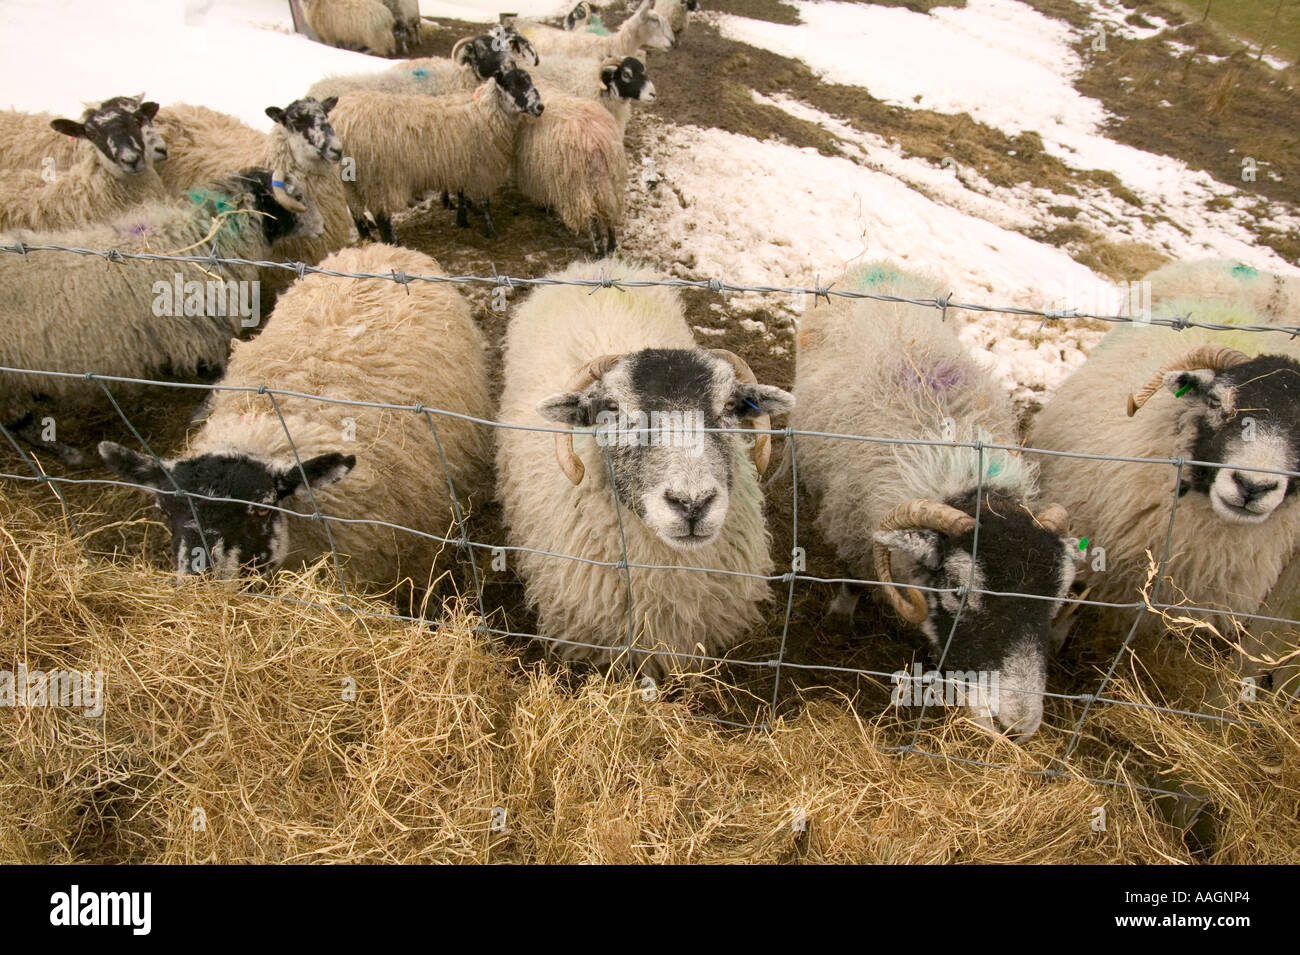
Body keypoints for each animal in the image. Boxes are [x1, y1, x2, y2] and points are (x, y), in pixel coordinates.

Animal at [0, 168, 323, 456]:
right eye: (297, 195)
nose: (320, 229)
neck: (200, 239)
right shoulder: (200, 331)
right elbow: (220, 370)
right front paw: (202, 410)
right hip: (11, 381)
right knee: (21, 424)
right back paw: (70, 454)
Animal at [329, 70, 544, 242]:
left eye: (529, 81)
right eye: (513, 85)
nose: (540, 107)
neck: (484, 113)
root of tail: (340, 120)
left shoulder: (461, 163)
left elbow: (461, 192)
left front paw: (462, 219)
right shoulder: (482, 166)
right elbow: (485, 202)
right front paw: (491, 231)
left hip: (348, 182)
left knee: (356, 214)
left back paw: (367, 240)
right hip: (376, 179)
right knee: (381, 217)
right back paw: (392, 243)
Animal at [516, 59, 654, 253]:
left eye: (643, 70)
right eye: (626, 75)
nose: (653, 93)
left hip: (582, 183)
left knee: (593, 214)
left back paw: (600, 250)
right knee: (606, 208)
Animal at [793, 263, 1077, 738]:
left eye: (1054, 598)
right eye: (958, 590)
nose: (1014, 727)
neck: (957, 467)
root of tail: (880, 267)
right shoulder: (853, 525)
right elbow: (853, 578)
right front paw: (841, 616)